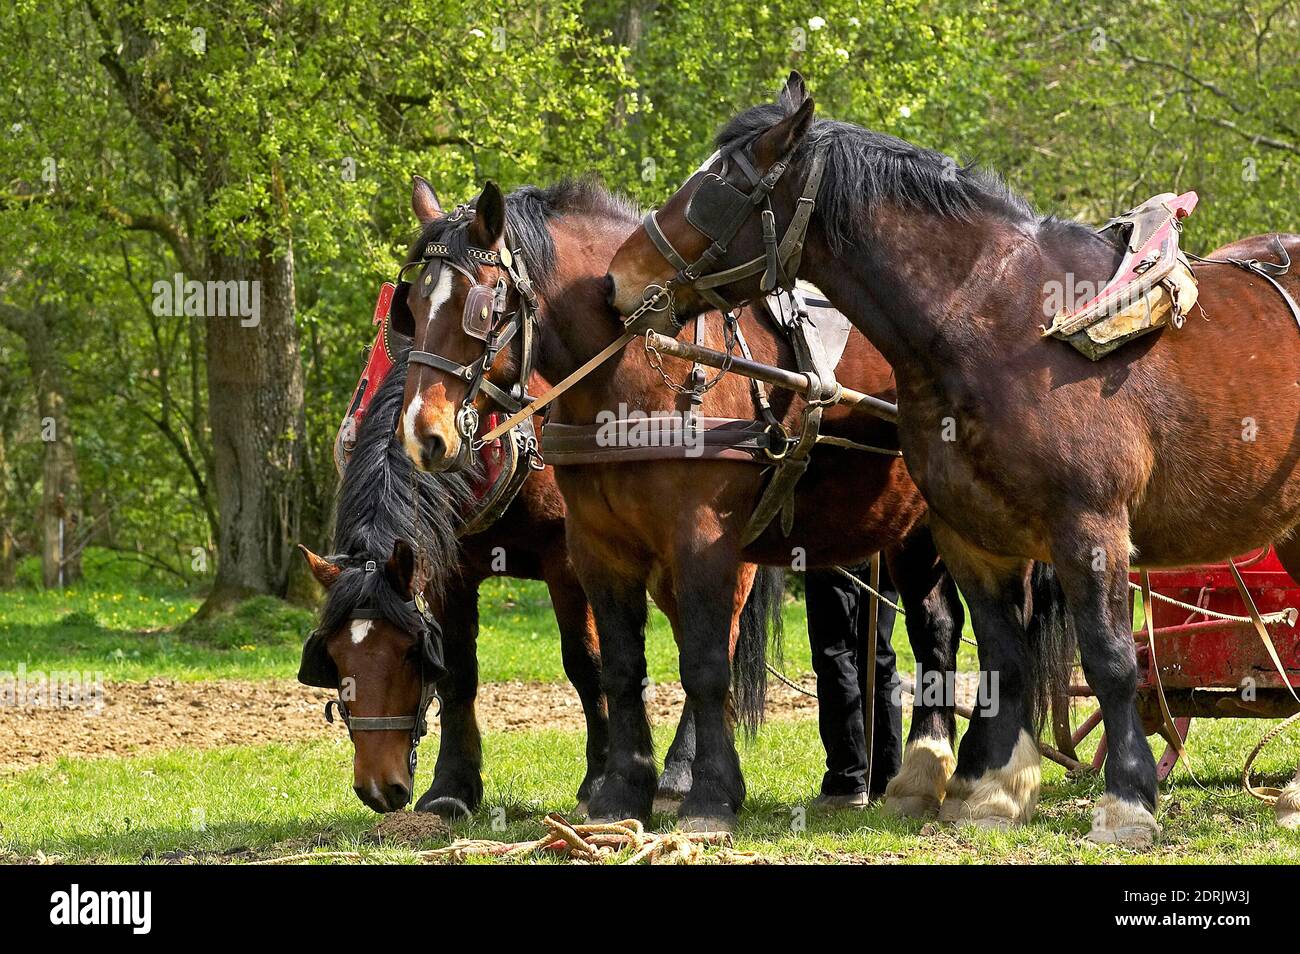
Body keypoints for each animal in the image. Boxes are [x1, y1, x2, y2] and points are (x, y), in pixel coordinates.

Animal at [296, 349, 607, 816]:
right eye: (333, 658)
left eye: (411, 653)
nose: (377, 787)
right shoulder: (446, 569)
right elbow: (458, 675)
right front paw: (452, 788)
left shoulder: (565, 556)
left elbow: (586, 664)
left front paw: (599, 781)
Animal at [392, 175, 1070, 829]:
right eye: (413, 307)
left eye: (483, 305)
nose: (424, 435)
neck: (641, 370)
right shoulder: (597, 549)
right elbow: (620, 669)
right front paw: (621, 796)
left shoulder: (702, 543)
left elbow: (704, 665)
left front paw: (710, 797)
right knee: (938, 628)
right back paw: (922, 775)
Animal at [605, 71, 1300, 842]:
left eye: (721, 184)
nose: (619, 279)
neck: (1006, 323)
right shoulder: (972, 534)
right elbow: (1002, 657)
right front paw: (992, 790)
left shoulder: (1090, 526)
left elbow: (1113, 661)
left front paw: (1126, 801)